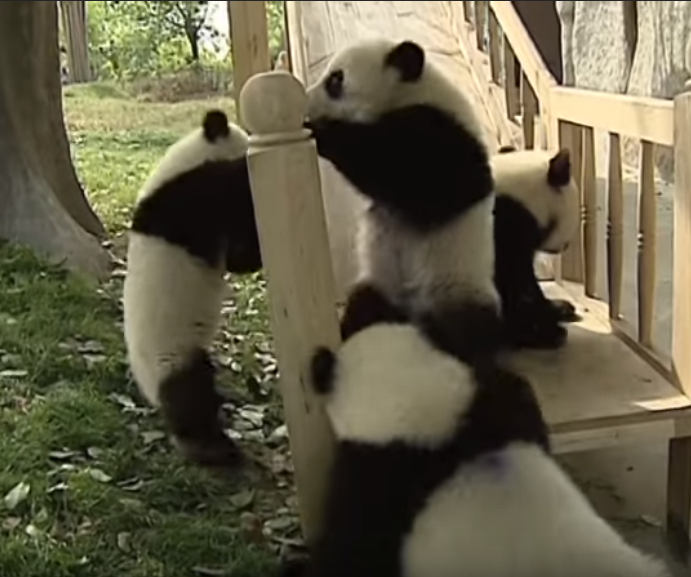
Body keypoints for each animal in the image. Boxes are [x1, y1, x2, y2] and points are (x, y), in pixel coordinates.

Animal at [123, 109, 262, 468]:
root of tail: (149, 391)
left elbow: (238, 260)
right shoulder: (195, 201)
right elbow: (239, 249)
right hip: (174, 354)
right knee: (192, 395)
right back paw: (212, 447)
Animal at [305, 38, 501, 363]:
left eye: (335, 80)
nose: (306, 101)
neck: (410, 91)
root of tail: (410, 313)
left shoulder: (445, 137)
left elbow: (403, 175)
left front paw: (322, 131)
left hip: (459, 285)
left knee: (468, 331)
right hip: (381, 282)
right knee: (364, 308)